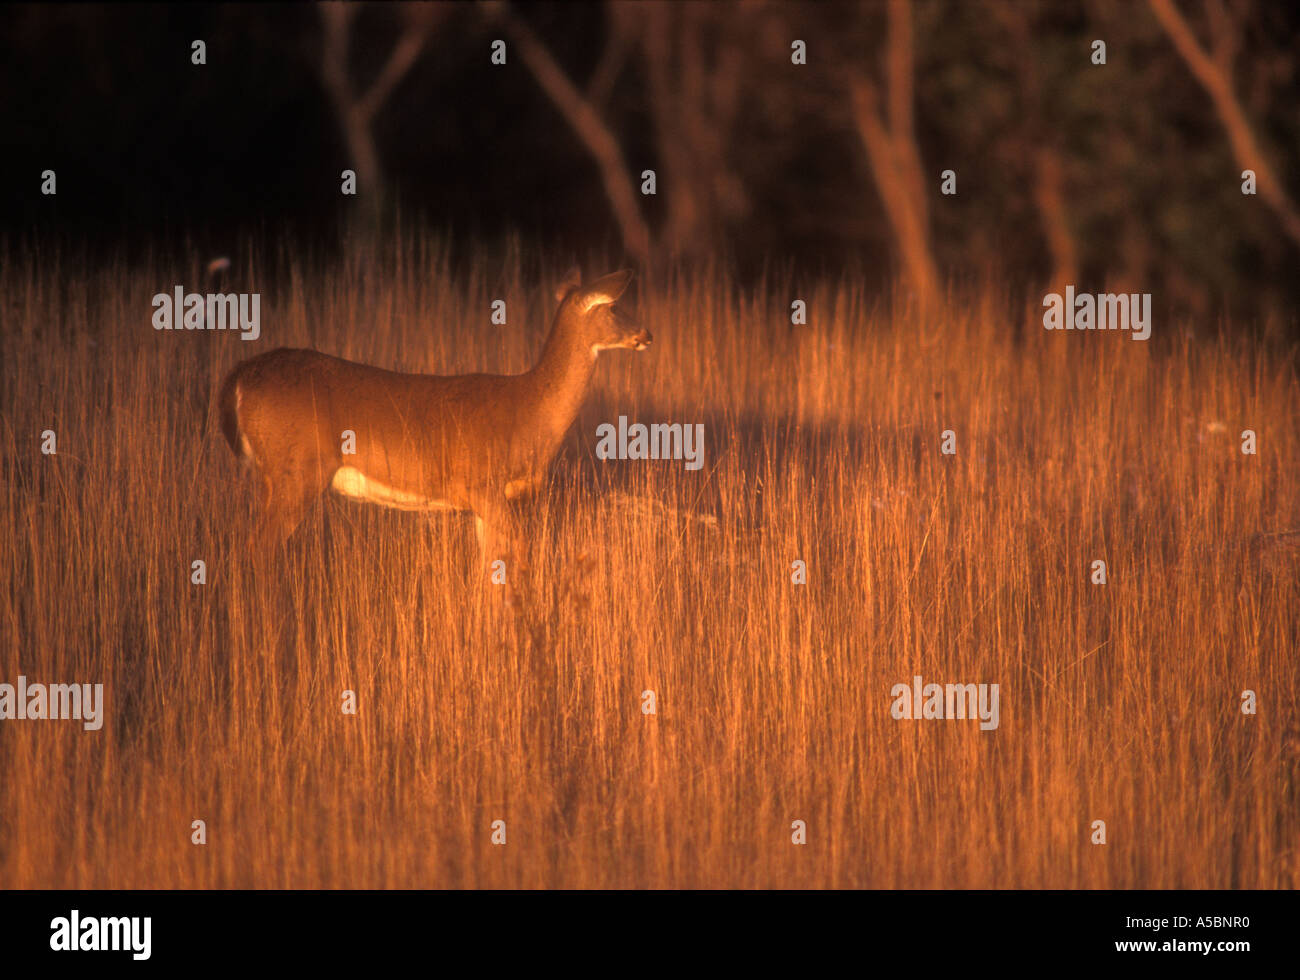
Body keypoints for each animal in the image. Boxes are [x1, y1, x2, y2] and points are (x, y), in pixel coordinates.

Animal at [216, 267, 650, 585]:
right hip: (298, 471)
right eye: (613, 307)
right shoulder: (482, 484)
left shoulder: (485, 502)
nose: (645, 333)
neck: (529, 410)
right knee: (259, 548)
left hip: (275, 476)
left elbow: (490, 569)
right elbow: (519, 557)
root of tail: (239, 378)